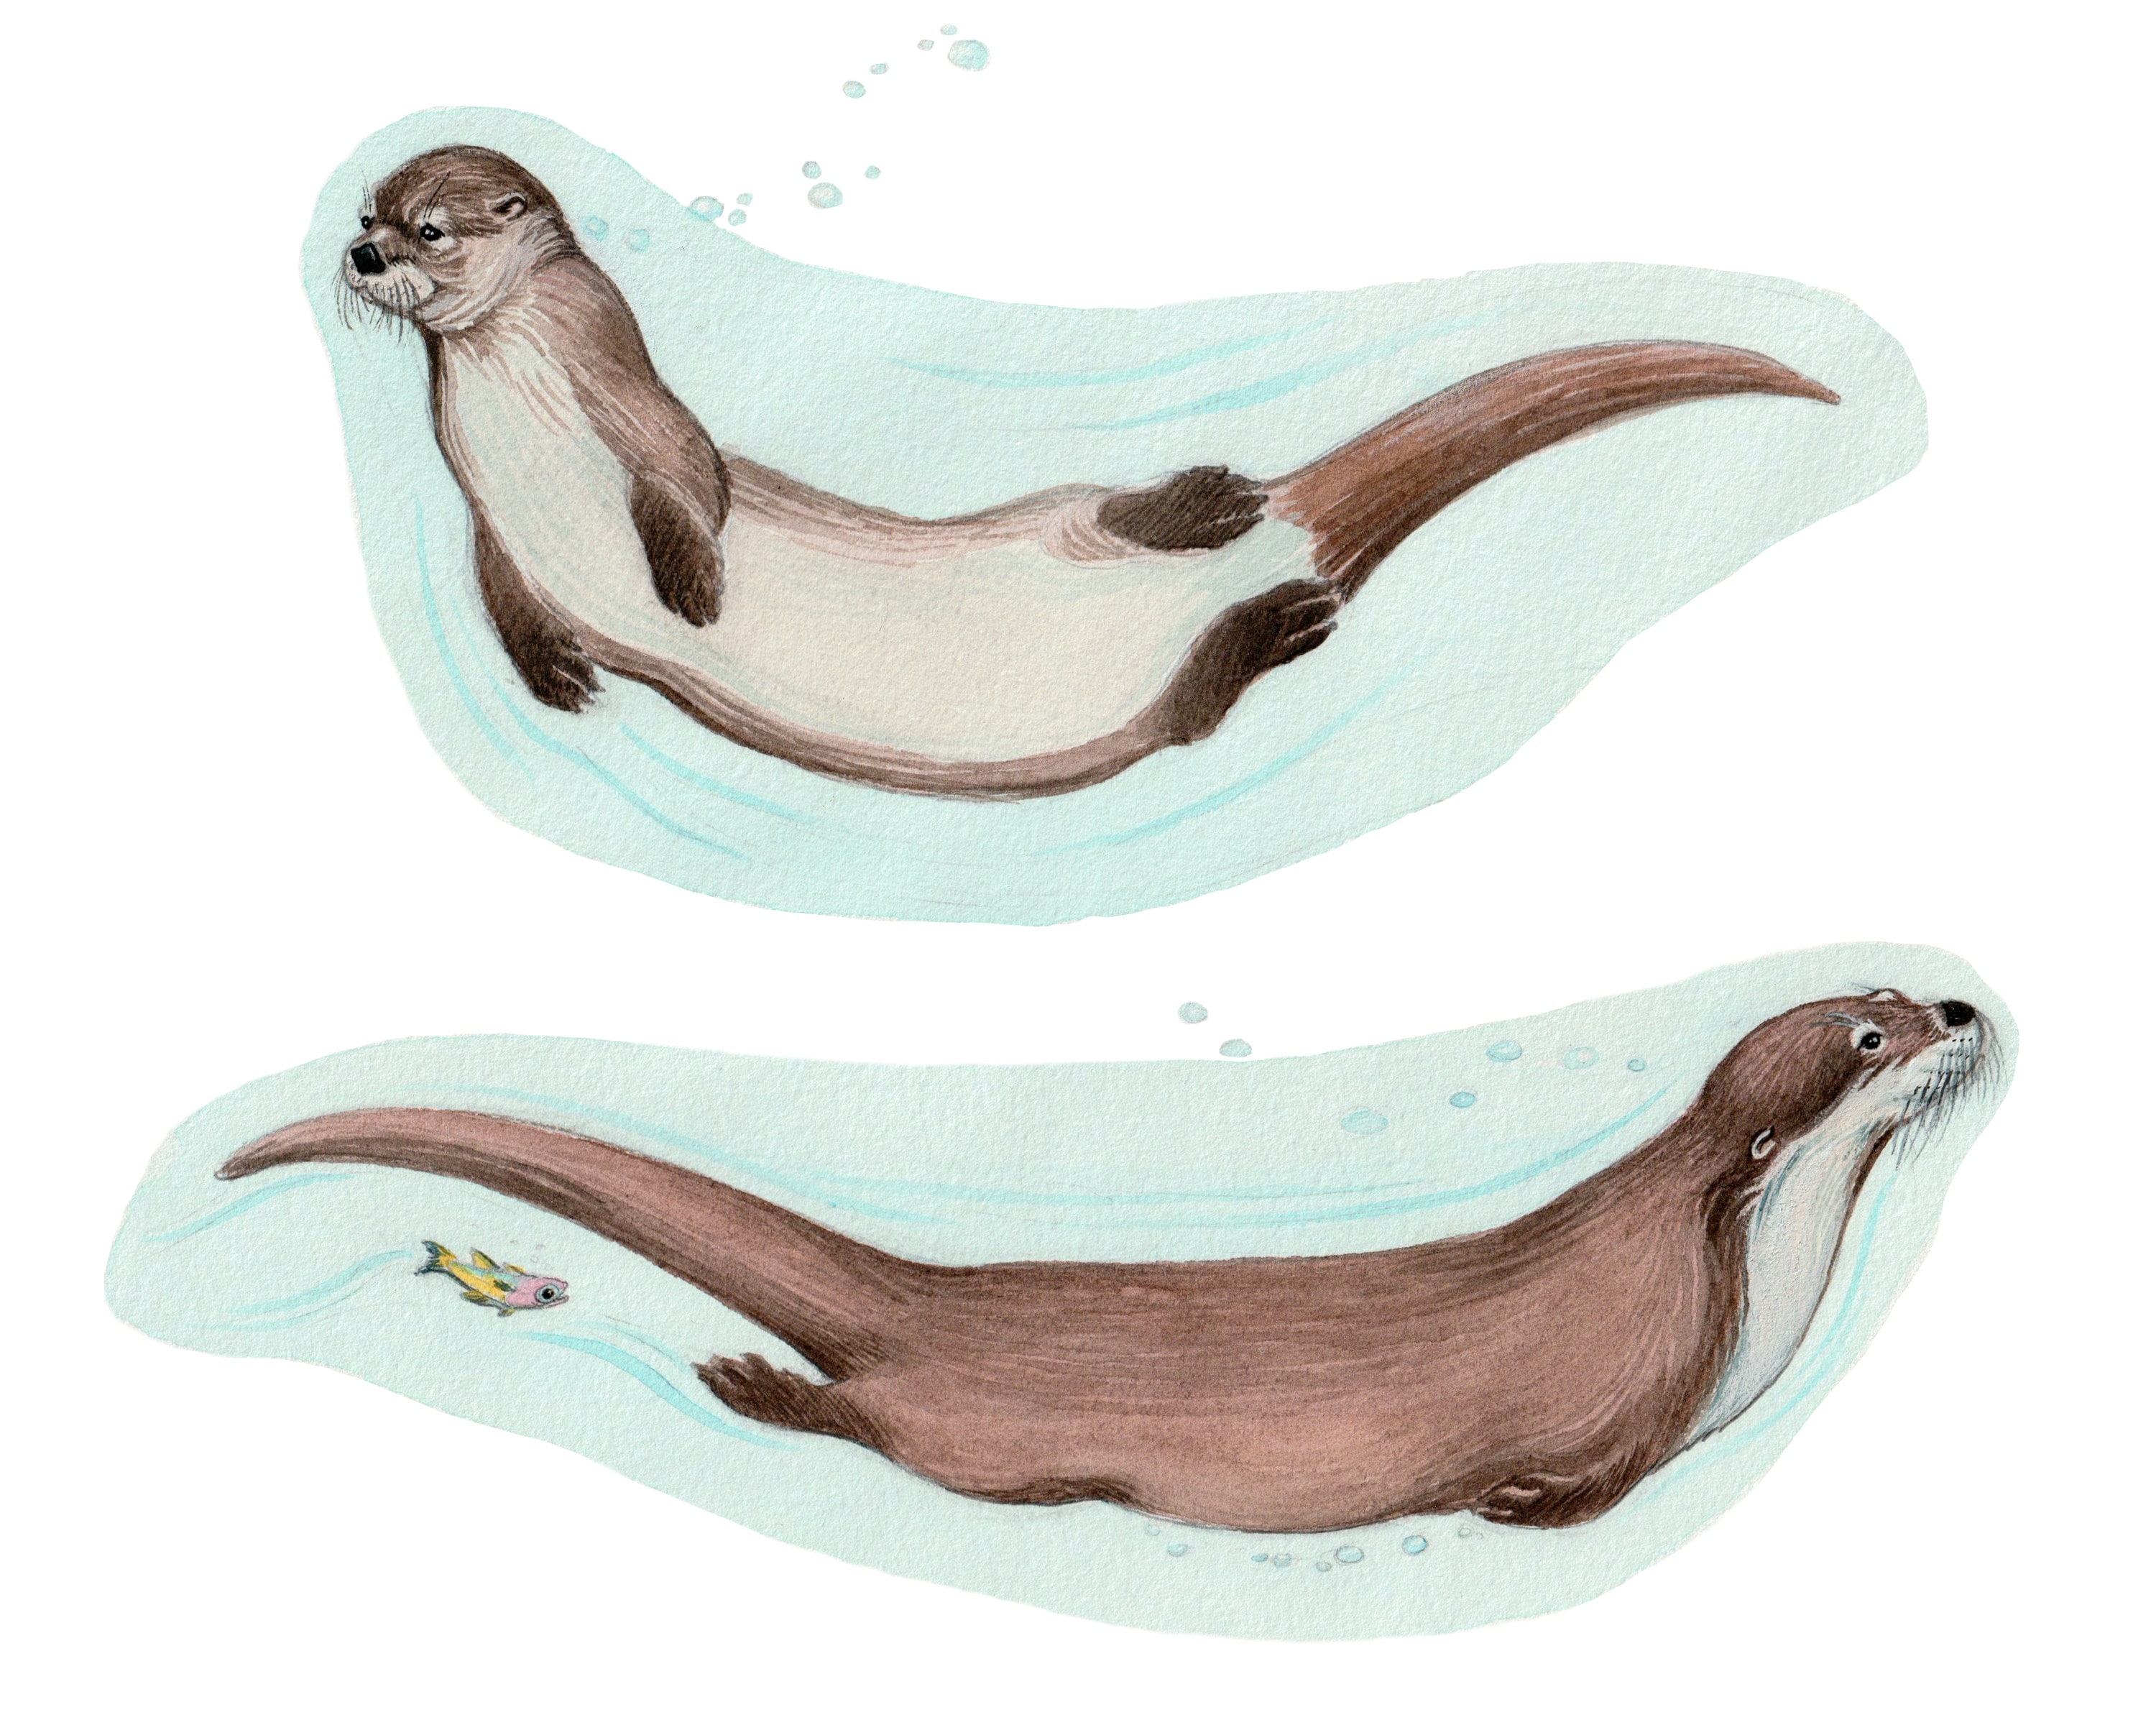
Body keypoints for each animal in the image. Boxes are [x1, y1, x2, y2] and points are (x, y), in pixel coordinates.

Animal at [218, 990, 1986, 1532]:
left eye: (1897, 988)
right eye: (1868, 1034)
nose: (1968, 1007)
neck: (1749, 1272)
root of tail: (946, 1290)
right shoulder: (1632, 1373)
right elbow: (1576, 1481)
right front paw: (1516, 1510)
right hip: (998, 1441)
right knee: (892, 1424)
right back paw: (746, 1381)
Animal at [340, 145, 1840, 799]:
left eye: (429, 226)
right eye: (364, 214)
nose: (356, 254)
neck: (521, 426)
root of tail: (1288, 536)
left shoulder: (637, 405)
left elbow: (685, 480)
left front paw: (692, 587)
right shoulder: (482, 516)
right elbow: (504, 599)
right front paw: (559, 676)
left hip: (1069, 524)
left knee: (1145, 546)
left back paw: (1221, 513)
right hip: (1141, 695)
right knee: (1202, 696)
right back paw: (1277, 611)